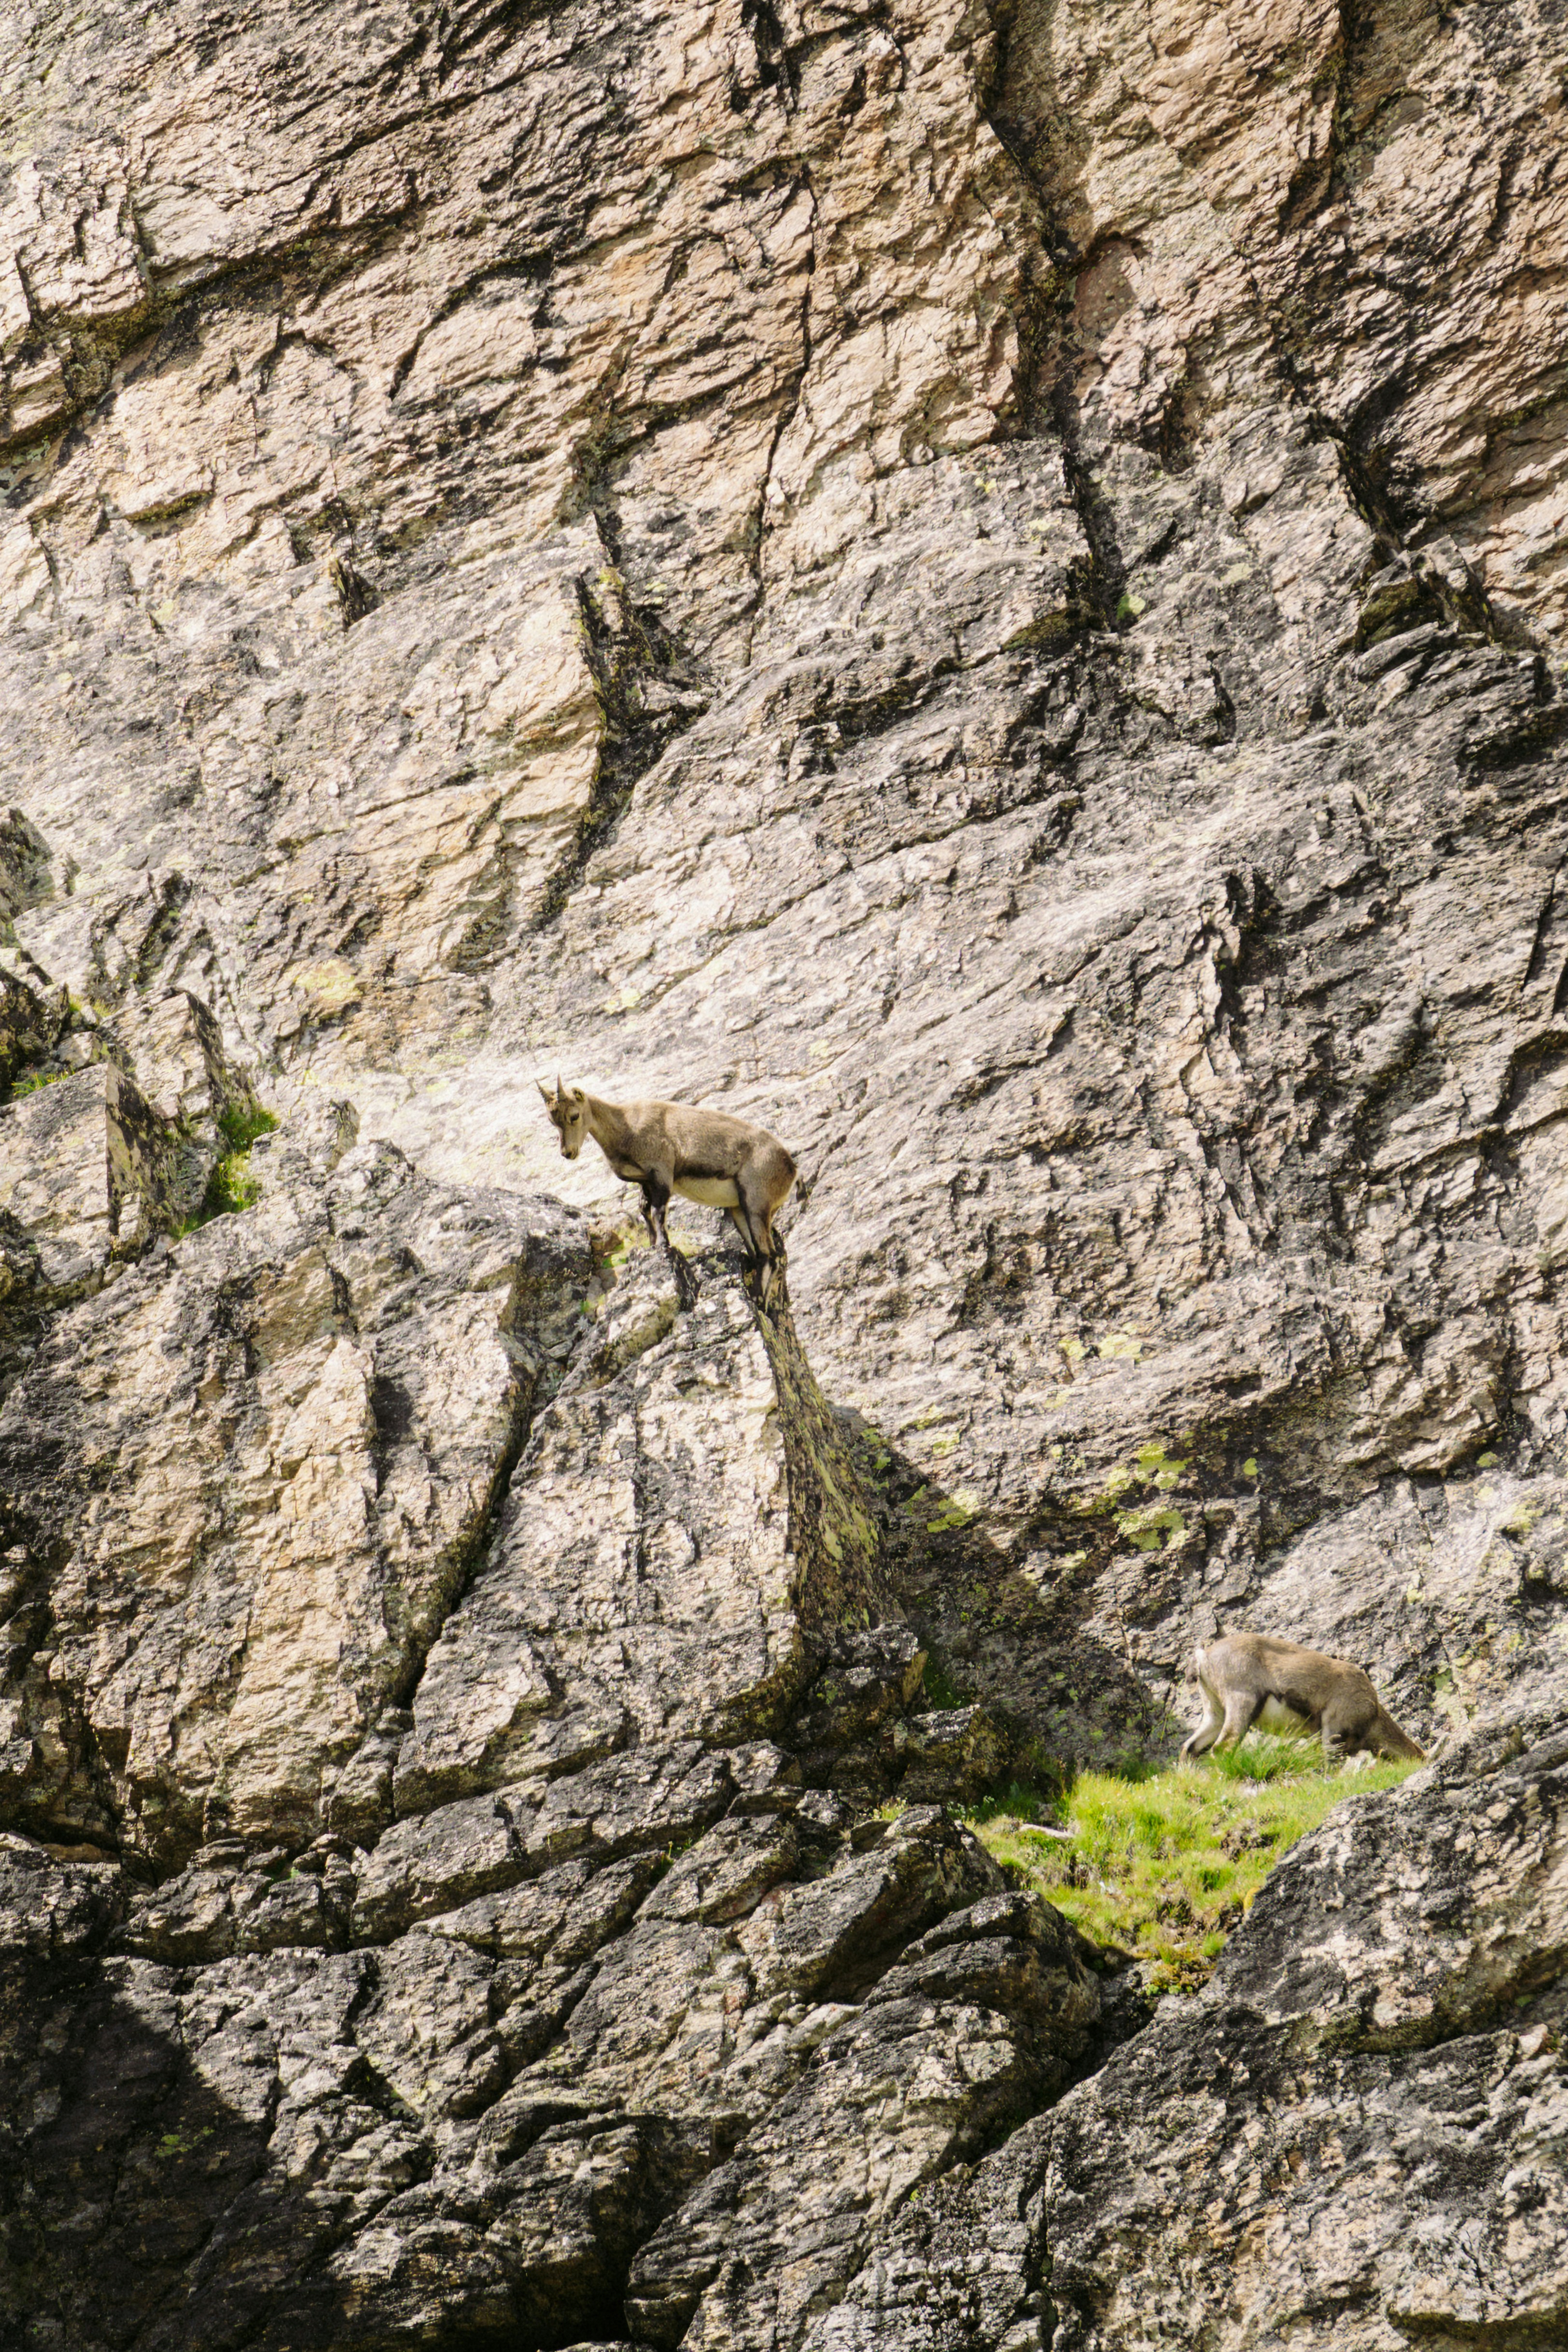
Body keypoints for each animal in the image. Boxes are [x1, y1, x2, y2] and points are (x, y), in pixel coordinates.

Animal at [537, 1078, 797, 1303]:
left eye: (574, 1116)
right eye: (552, 1121)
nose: (568, 1153)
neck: (626, 1126)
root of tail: (791, 1169)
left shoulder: (662, 1173)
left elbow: (658, 1211)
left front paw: (663, 1244)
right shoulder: (645, 1181)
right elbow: (643, 1209)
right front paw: (652, 1244)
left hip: (756, 1202)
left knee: (769, 1255)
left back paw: (758, 1297)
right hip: (739, 1209)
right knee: (761, 1253)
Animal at [1180, 1631, 1425, 1766]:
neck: (1372, 1716)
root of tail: (1204, 1657)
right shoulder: (1334, 1727)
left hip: (1215, 1711)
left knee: (1190, 1747)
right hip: (1242, 1701)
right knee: (1224, 1746)